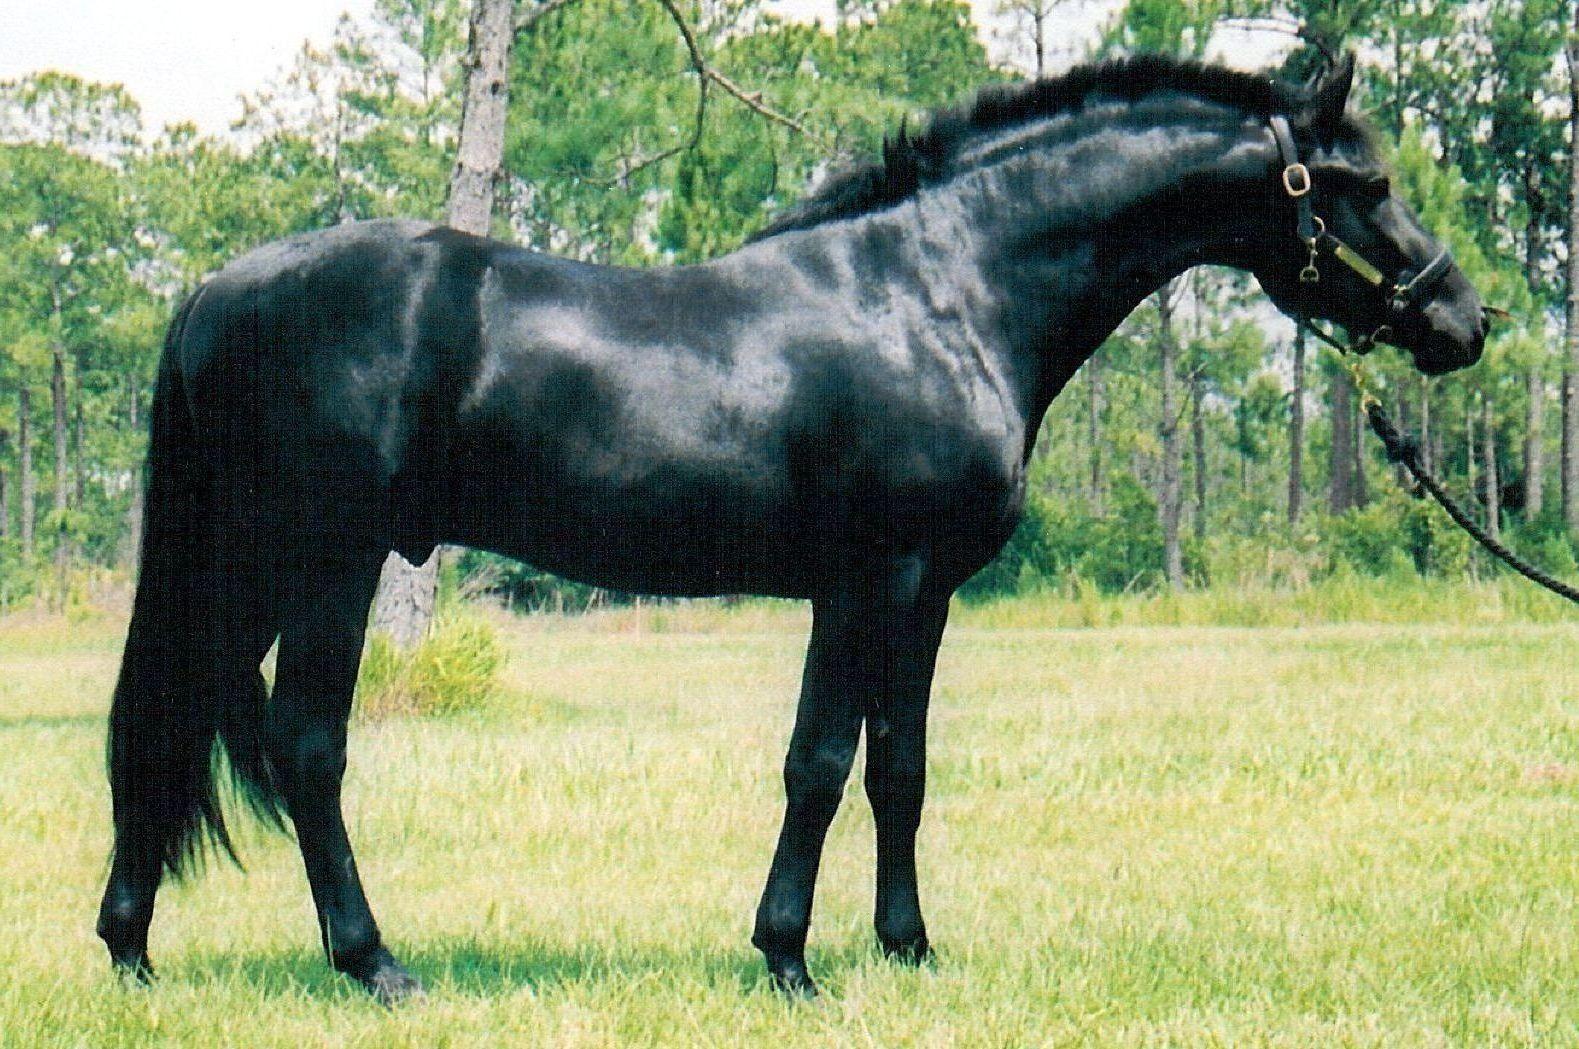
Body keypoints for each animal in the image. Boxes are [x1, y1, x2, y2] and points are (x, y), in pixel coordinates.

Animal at [97, 52, 1486, 1001]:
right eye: (1362, 182)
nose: (1460, 320)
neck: (942, 295)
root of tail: (213, 290)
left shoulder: (923, 592)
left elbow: (897, 767)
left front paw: (908, 946)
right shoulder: (866, 580)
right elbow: (817, 763)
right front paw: (787, 957)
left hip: (247, 570)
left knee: (170, 721)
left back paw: (132, 946)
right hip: (323, 563)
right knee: (304, 743)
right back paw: (372, 960)